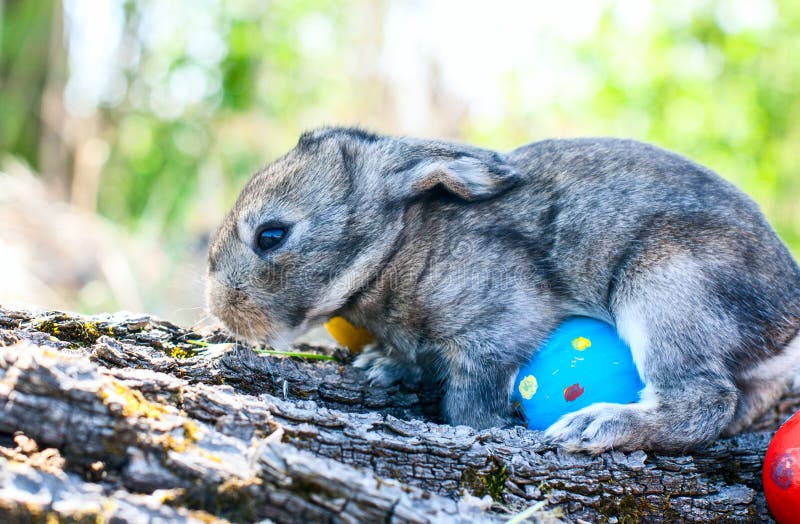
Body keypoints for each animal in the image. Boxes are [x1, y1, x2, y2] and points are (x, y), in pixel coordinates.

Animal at [206, 127, 800, 453]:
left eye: (271, 235)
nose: (218, 304)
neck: (394, 245)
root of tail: (787, 317)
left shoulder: (496, 326)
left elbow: (469, 397)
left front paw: (492, 426)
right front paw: (383, 366)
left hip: (665, 288)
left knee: (704, 399)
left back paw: (598, 424)